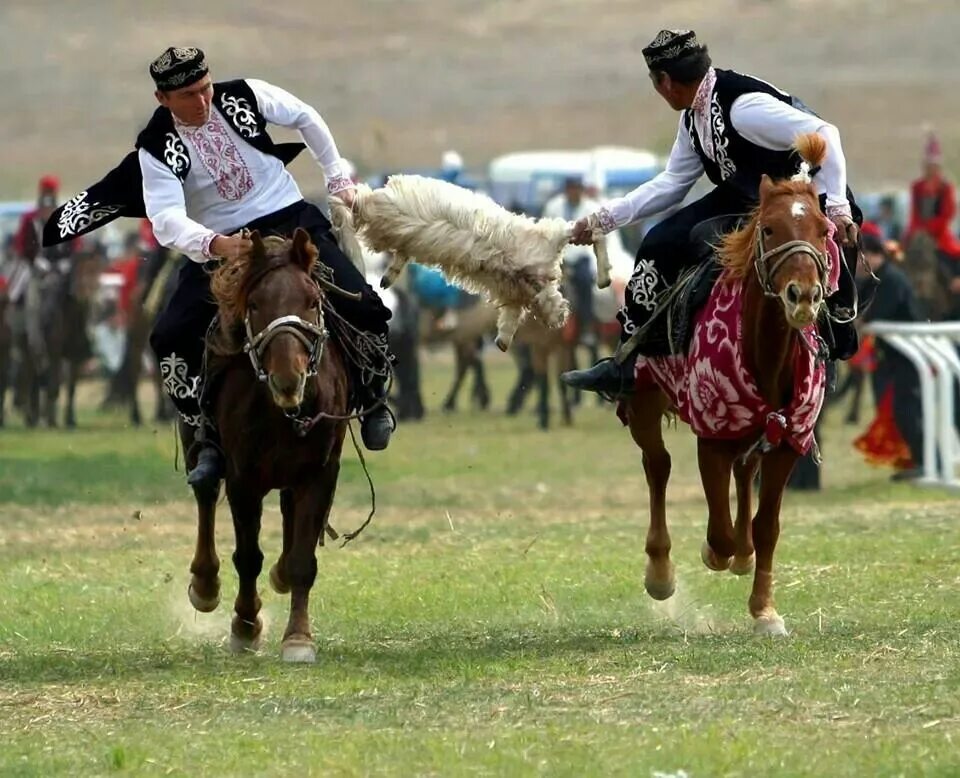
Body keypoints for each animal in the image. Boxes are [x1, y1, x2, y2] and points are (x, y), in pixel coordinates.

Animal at [184, 226, 348, 660]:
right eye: (255, 304)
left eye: (312, 301)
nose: (287, 380)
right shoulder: (244, 479)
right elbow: (247, 557)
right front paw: (244, 624)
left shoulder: (320, 473)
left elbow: (303, 561)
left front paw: (299, 638)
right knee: (206, 493)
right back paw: (205, 584)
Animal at [628, 132, 836, 632]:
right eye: (769, 230)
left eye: (823, 230)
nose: (803, 296)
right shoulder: (712, 439)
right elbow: (718, 531)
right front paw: (714, 553)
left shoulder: (789, 441)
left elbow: (766, 526)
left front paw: (765, 610)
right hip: (644, 401)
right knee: (657, 465)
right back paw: (660, 573)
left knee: (743, 474)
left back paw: (742, 557)